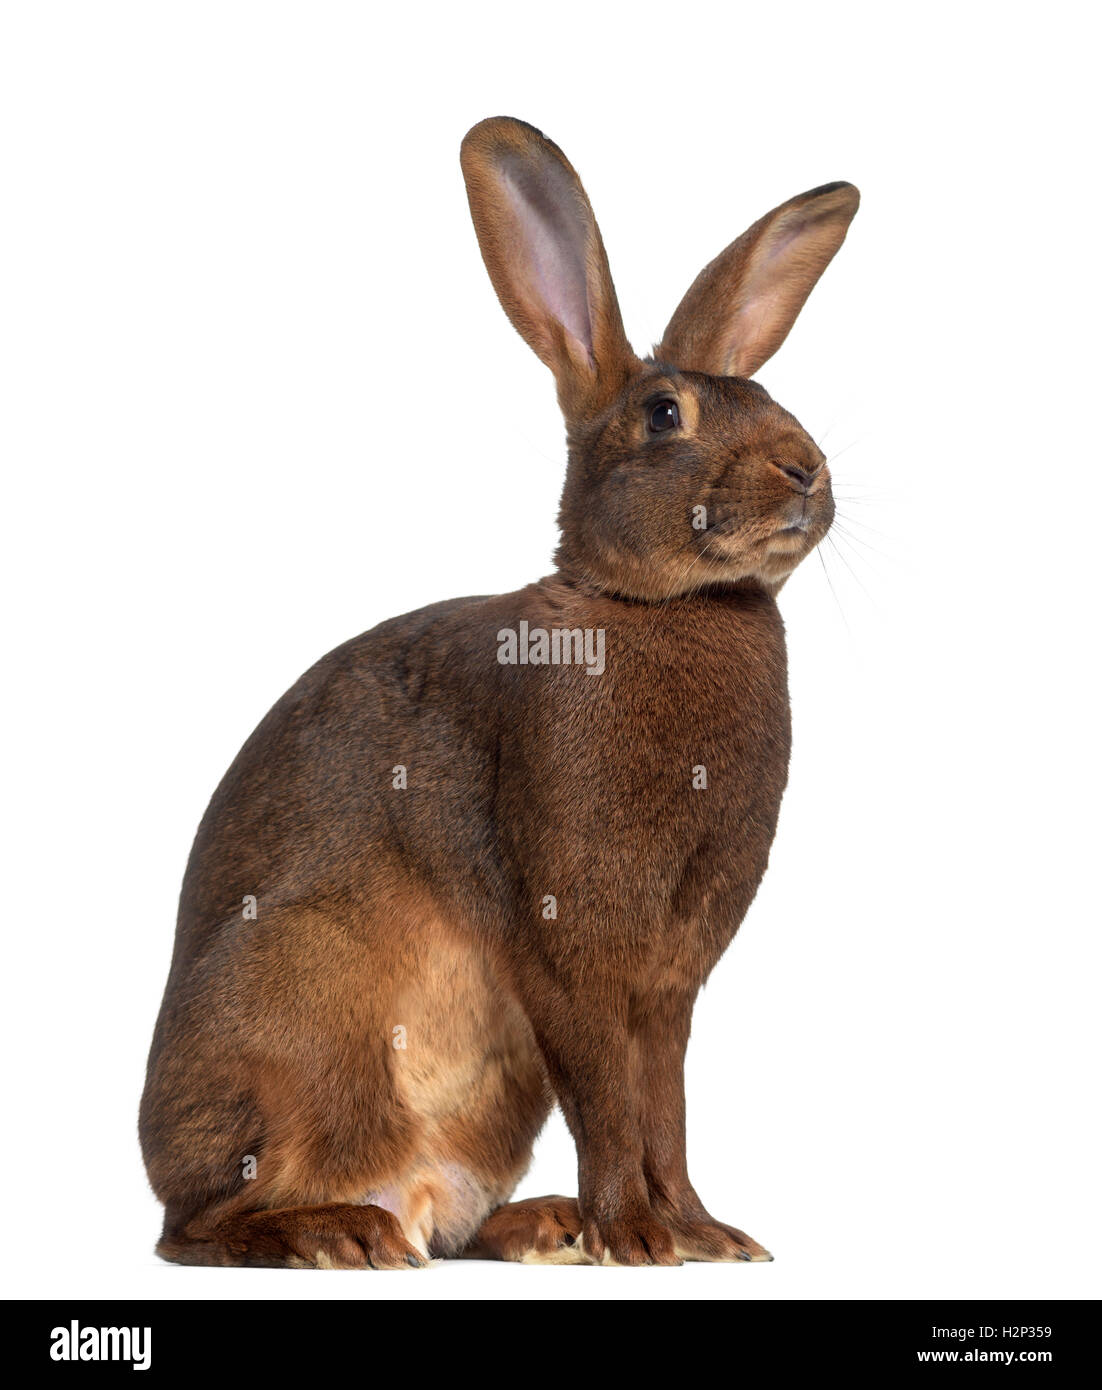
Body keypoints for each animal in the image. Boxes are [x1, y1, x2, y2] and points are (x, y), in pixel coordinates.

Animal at [140, 115, 858, 1268]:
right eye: (665, 413)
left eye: (772, 402)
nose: (806, 468)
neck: (652, 602)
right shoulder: (565, 949)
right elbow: (611, 1101)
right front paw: (639, 1238)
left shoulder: (668, 989)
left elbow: (664, 1106)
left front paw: (704, 1234)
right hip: (294, 1013)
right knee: (198, 1225)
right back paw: (340, 1233)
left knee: (451, 1223)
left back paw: (541, 1225)